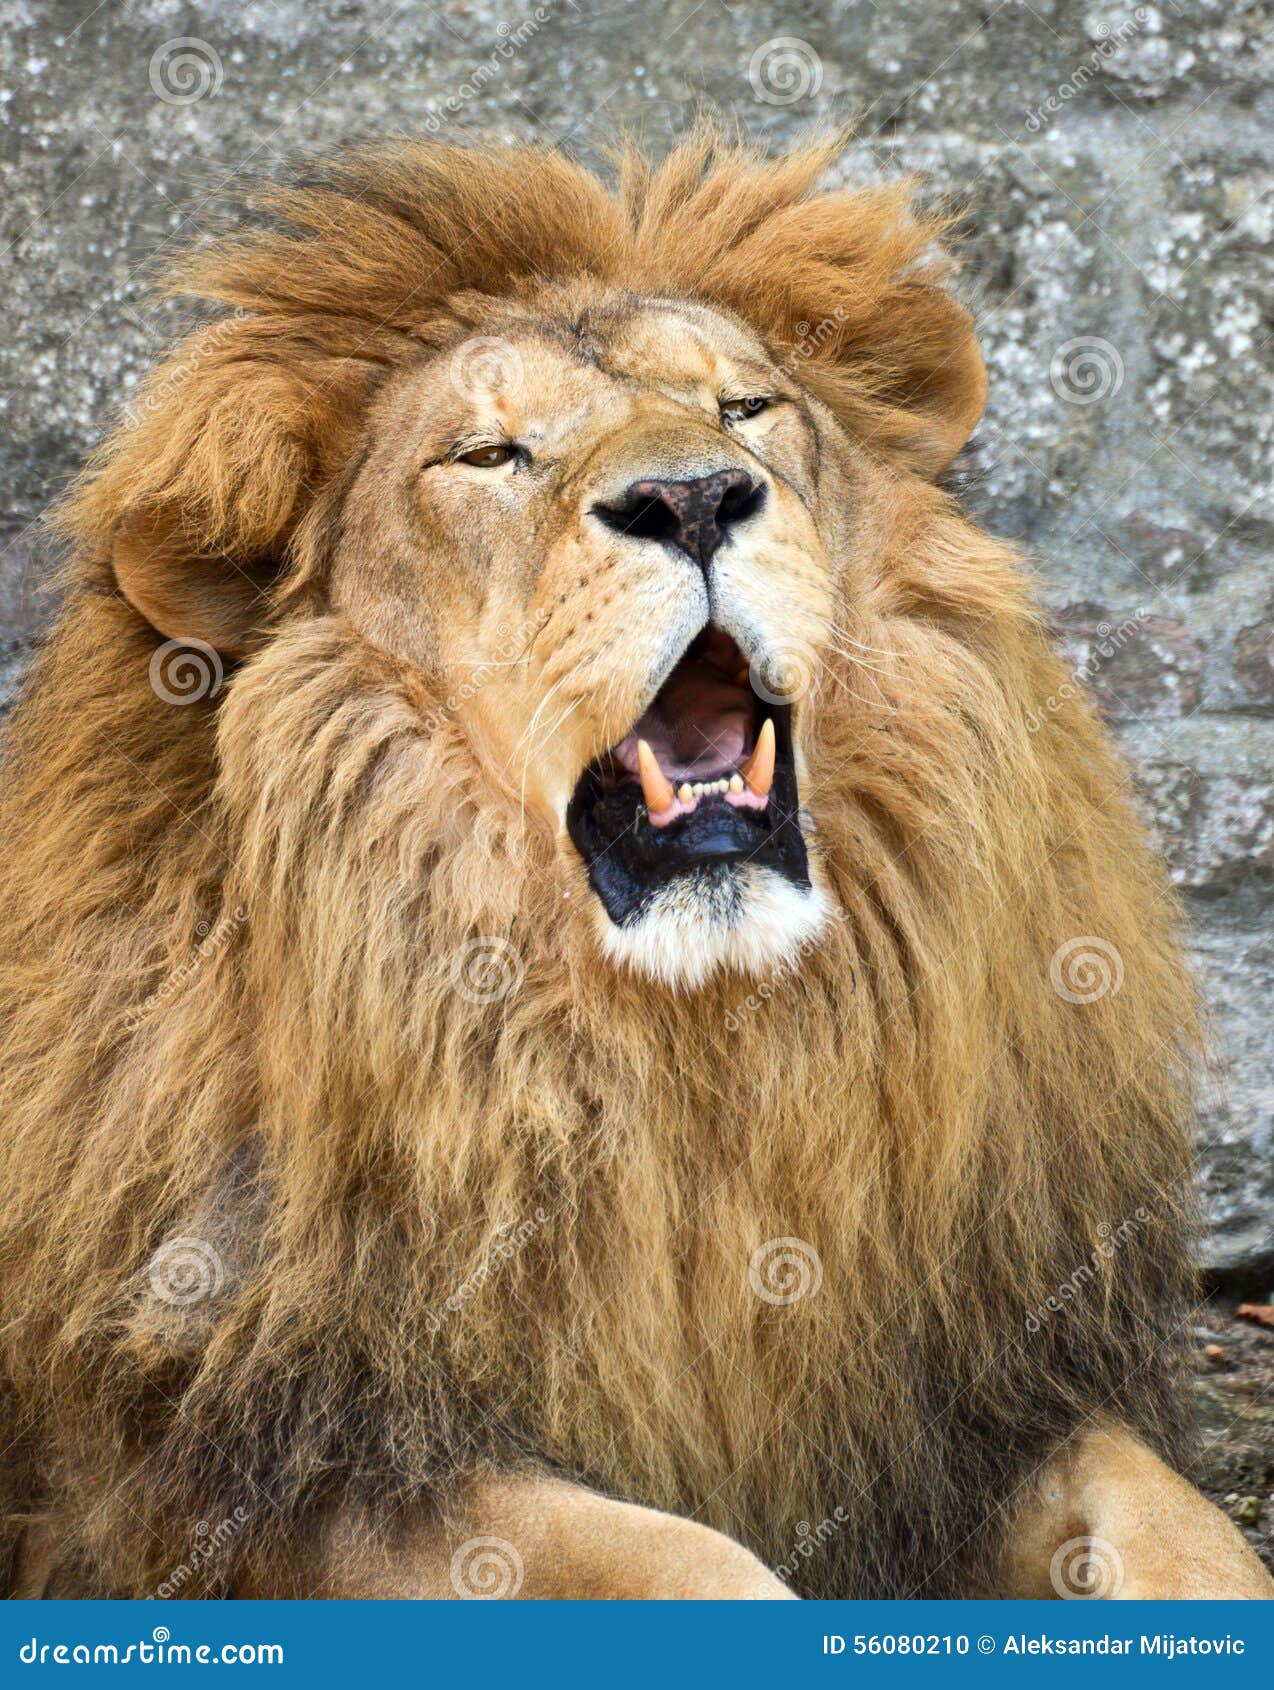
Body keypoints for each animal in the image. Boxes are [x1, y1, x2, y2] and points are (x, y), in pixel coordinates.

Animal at [0, 130, 1268, 1603]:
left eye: (745, 407)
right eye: (488, 453)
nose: (692, 497)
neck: (683, 1051)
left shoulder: (981, 1401)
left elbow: (1186, 1532)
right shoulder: (286, 1480)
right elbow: (691, 1569)